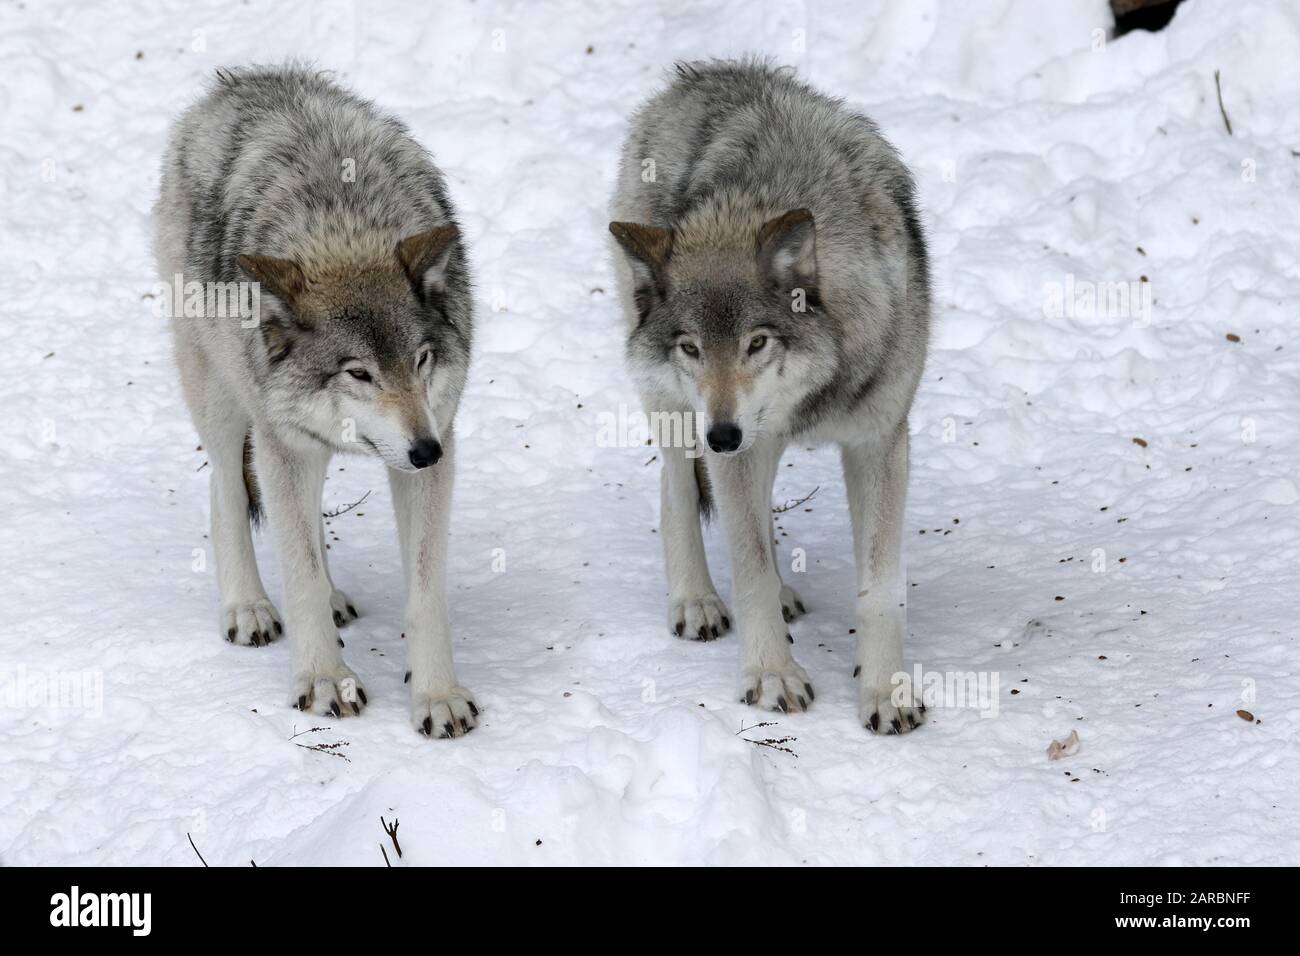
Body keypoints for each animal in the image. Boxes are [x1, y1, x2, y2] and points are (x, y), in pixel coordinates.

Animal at [153, 66, 478, 737]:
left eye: (421, 360)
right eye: (358, 372)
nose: (426, 451)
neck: (344, 232)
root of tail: (242, 79)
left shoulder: (434, 438)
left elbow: (425, 588)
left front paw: (437, 696)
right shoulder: (283, 444)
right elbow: (297, 569)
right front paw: (325, 681)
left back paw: (332, 599)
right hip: (224, 399)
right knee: (225, 489)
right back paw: (248, 606)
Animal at [608, 60, 931, 734]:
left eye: (756, 342)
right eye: (691, 347)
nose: (722, 434)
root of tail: (704, 72)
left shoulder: (880, 444)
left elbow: (879, 584)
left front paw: (886, 692)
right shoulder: (728, 442)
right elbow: (749, 559)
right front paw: (772, 676)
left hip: (755, 436)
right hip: (676, 411)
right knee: (678, 493)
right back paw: (697, 599)